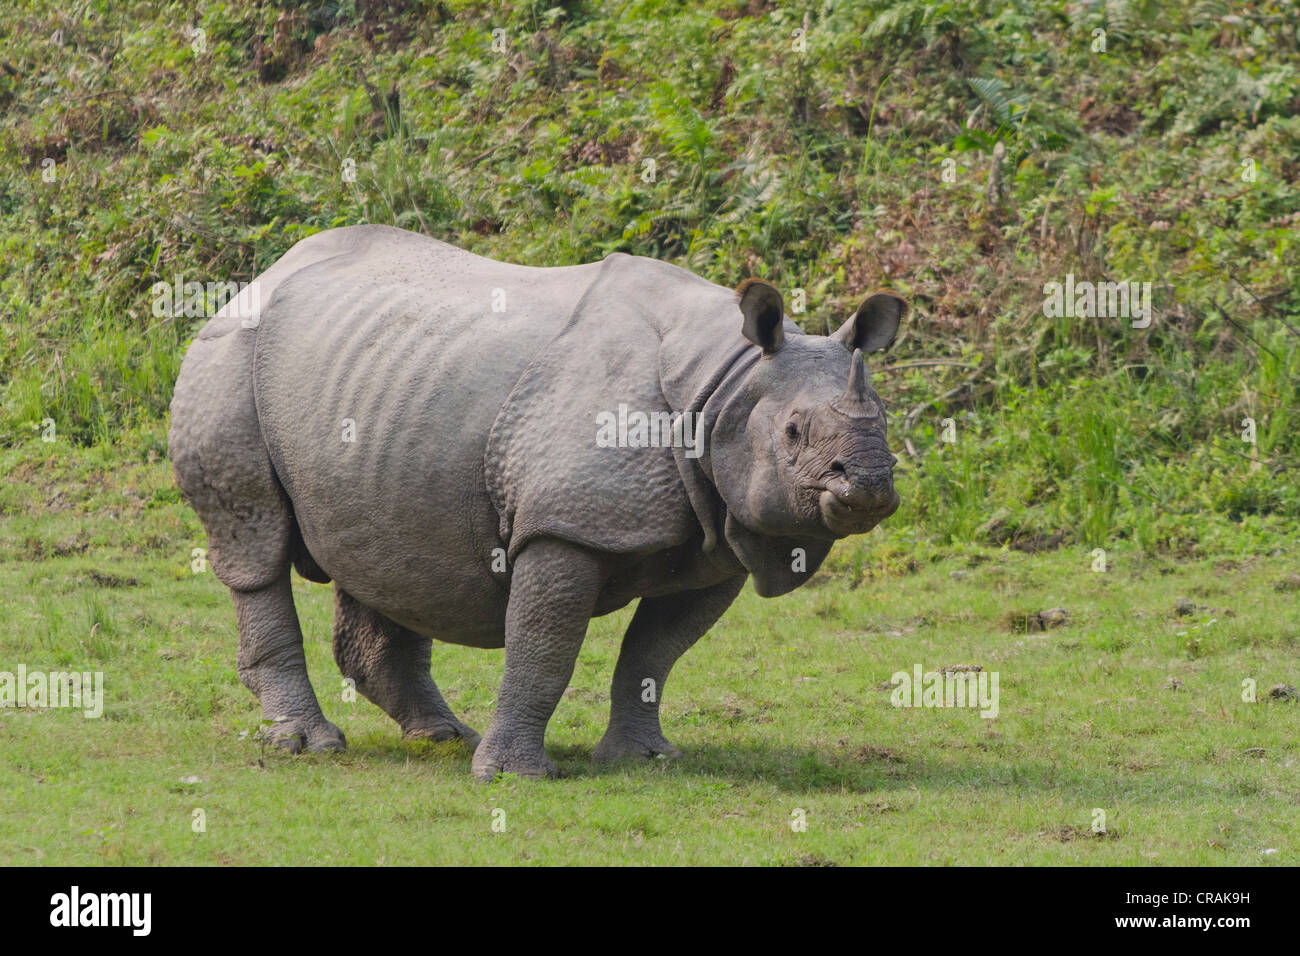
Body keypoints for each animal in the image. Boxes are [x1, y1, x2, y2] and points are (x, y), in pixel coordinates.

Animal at [168, 225, 905, 780]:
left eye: (885, 418)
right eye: (793, 432)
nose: (868, 484)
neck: (727, 380)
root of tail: (260, 276)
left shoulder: (718, 536)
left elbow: (656, 652)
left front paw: (643, 760)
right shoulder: (565, 525)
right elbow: (544, 647)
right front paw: (514, 777)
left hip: (372, 387)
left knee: (377, 547)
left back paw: (442, 738)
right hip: (227, 358)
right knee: (256, 547)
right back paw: (307, 745)